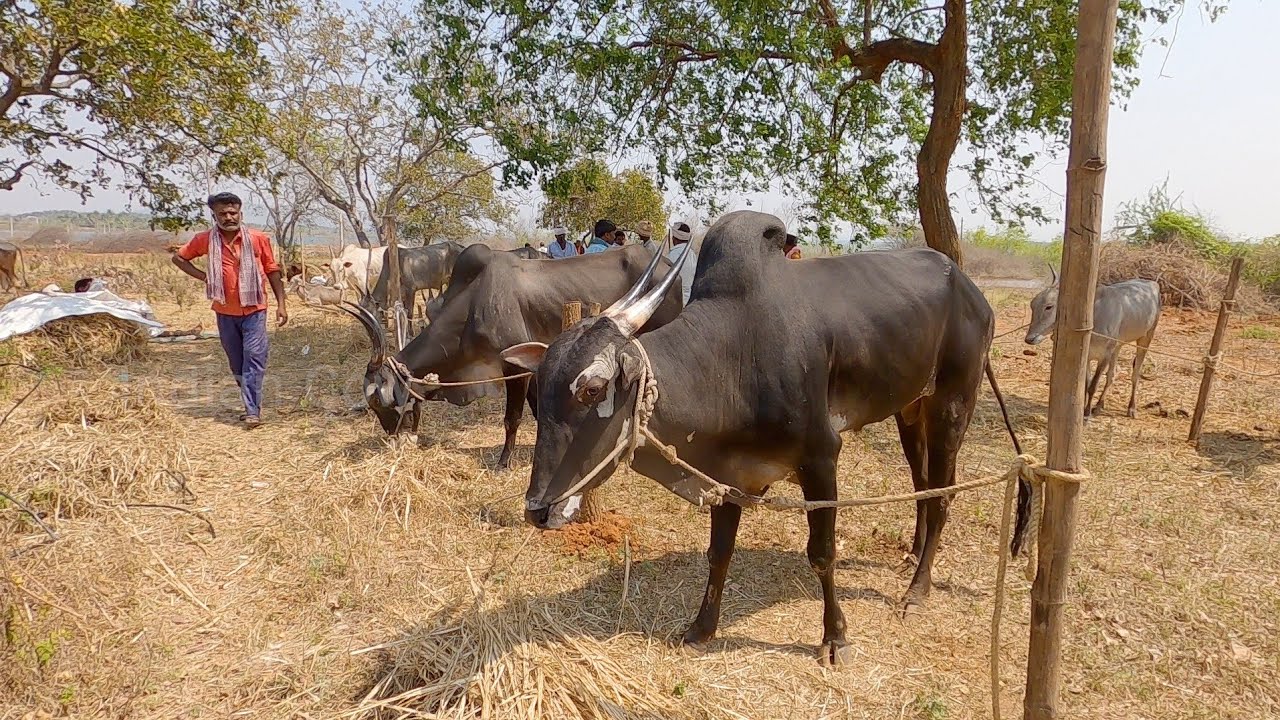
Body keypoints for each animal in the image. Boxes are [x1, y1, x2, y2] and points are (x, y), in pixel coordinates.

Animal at [340, 243, 685, 471]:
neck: (473, 308)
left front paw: (504, 462)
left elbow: (513, 418)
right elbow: (537, 410)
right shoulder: (532, 367)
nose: (392, 437)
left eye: (376, 399)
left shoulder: (512, 367)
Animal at [498, 211, 1028, 665]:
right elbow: (719, 552)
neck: (736, 356)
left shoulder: (821, 458)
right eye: (541, 387)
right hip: (909, 409)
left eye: (591, 389)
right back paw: (916, 554)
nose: (537, 509)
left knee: (942, 496)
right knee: (922, 483)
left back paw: (917, 591)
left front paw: (835, 639)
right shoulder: (728, 473)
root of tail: (970, 289)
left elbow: (822, 553)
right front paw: (702, 628)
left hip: (951, 404)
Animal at [1025, 267, 1160, 418]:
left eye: (1049, 306)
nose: (1029, 338)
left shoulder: (1104, 356)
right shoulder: (1087, 355)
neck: (1094, 316)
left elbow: (1093, 385)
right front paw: (1083, 409)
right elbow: (1086, 384)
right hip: (1117, 345)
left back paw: (1131, 408)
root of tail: (1153, 283)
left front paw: (1086, 412)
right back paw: (1099, 405)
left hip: (1146, 337)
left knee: (1135, 374)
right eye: (1032, 305)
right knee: (1112, 374)